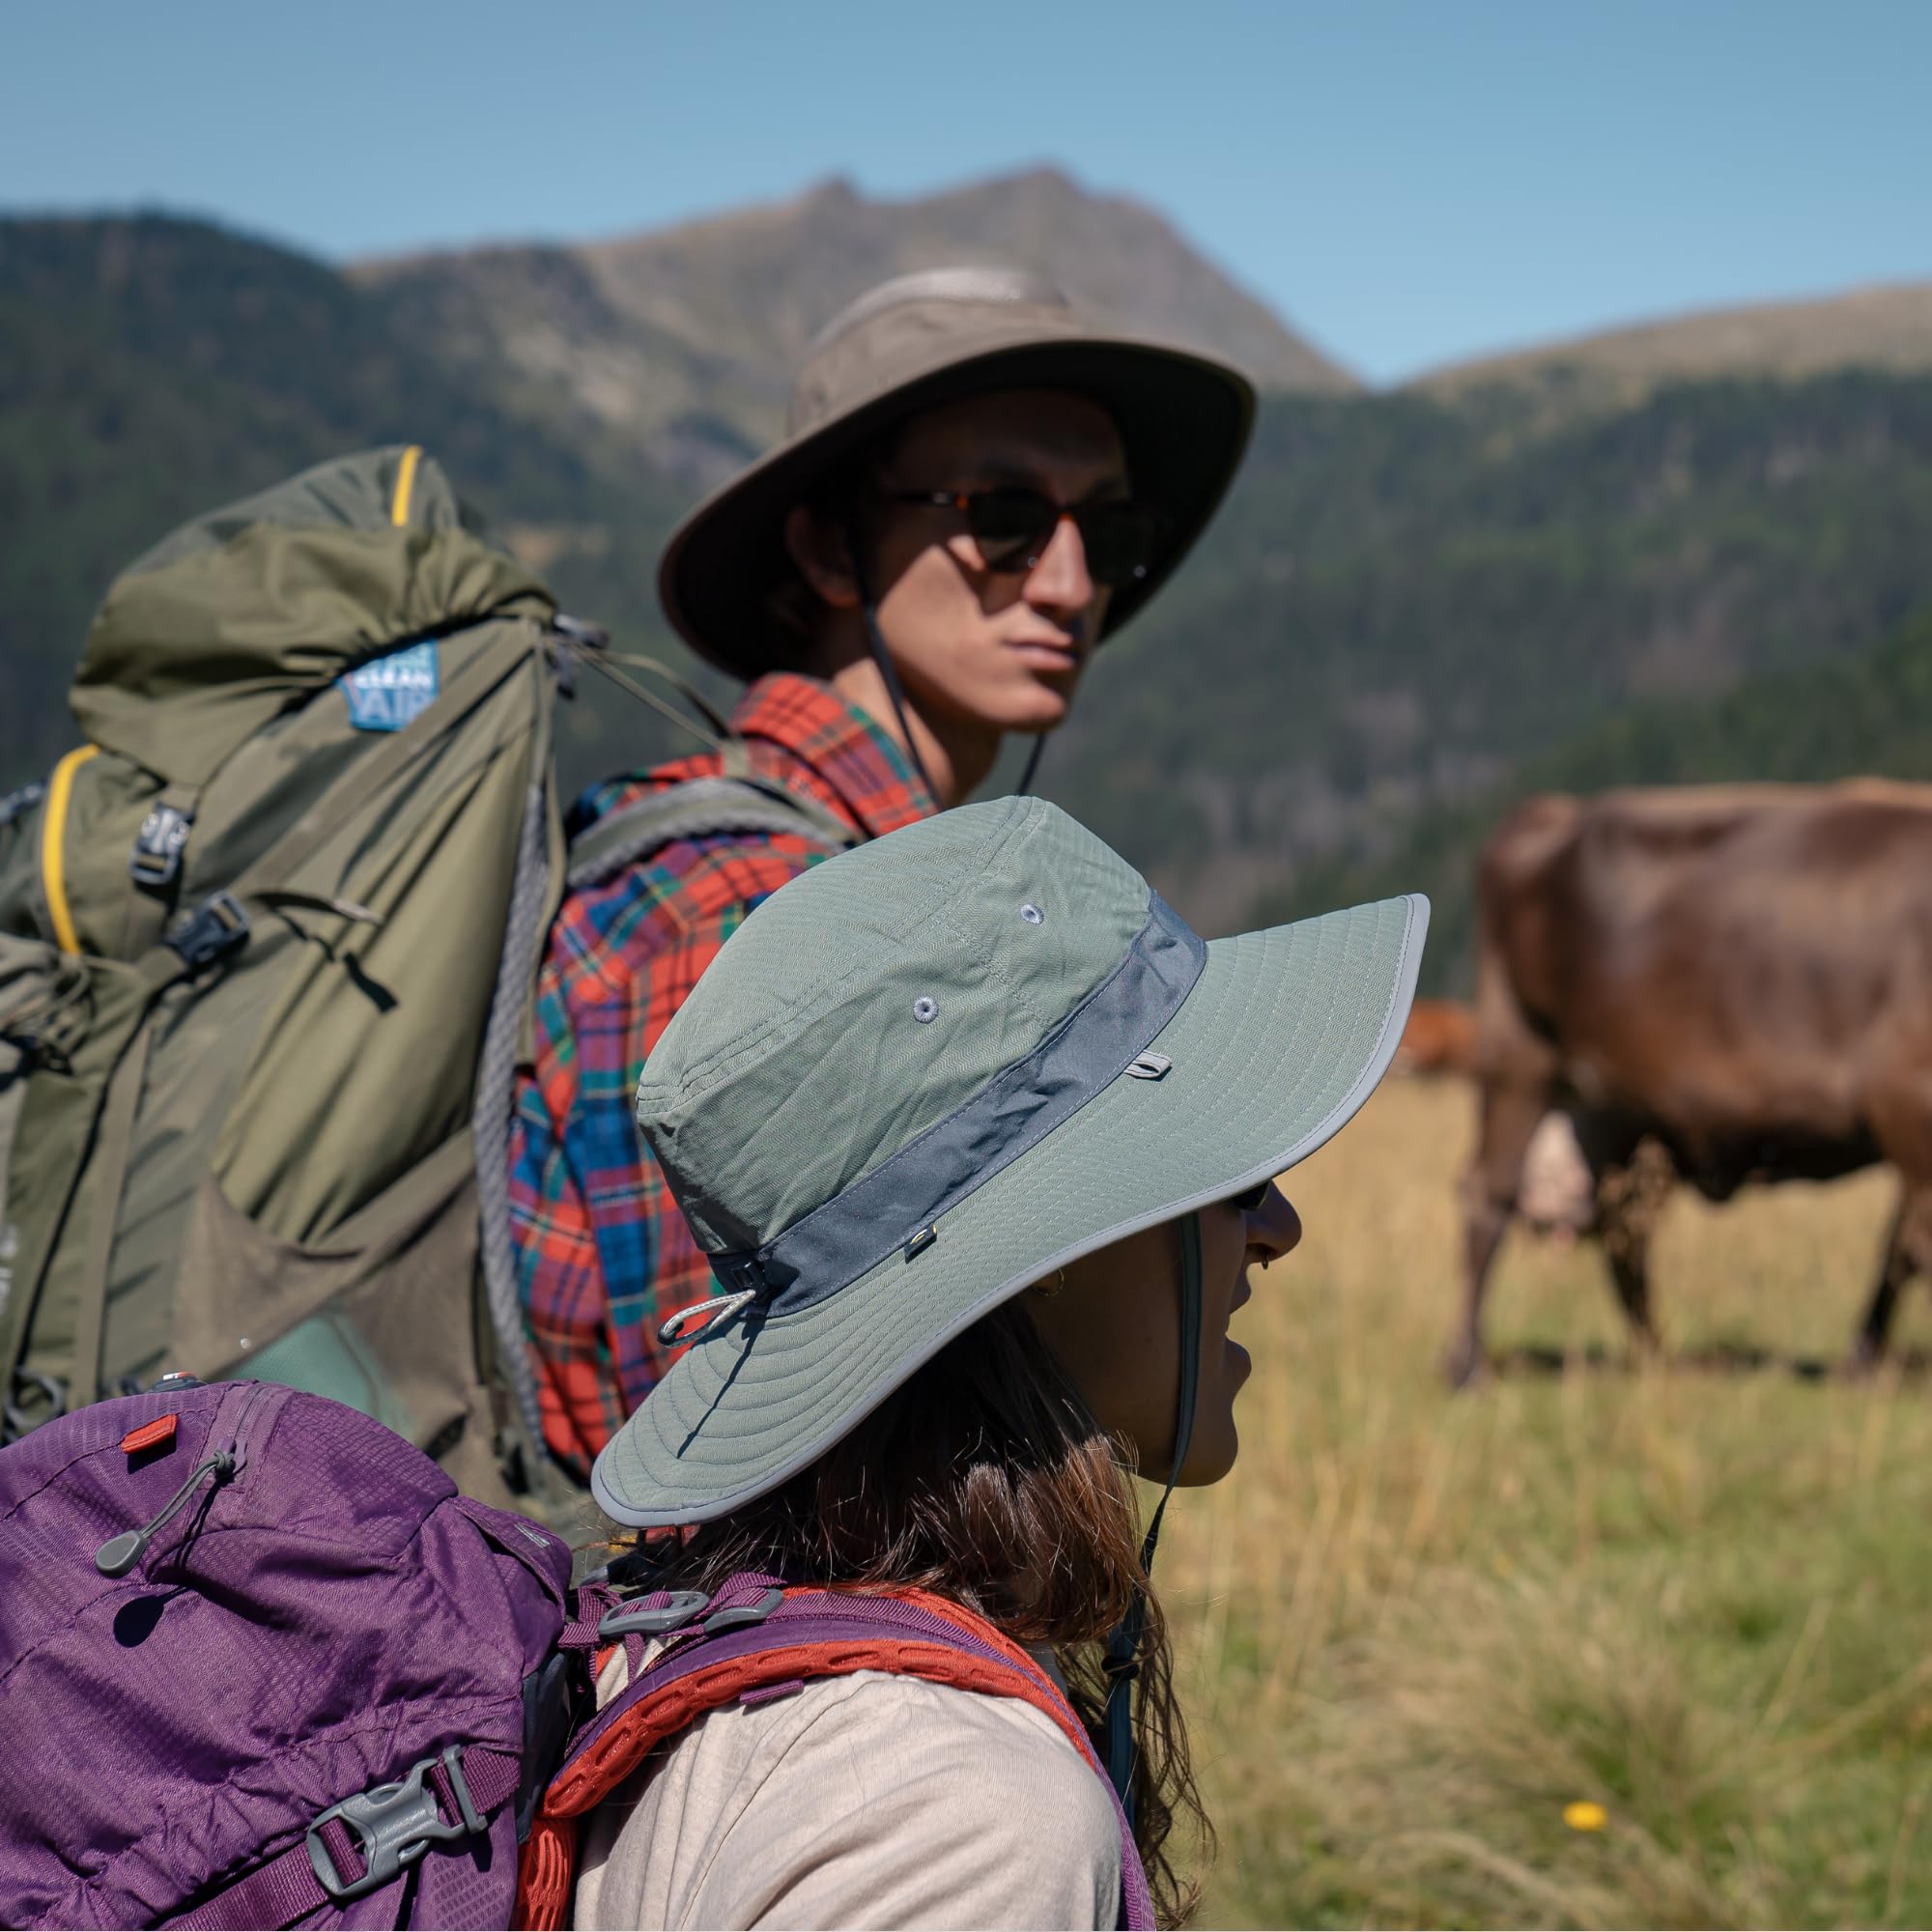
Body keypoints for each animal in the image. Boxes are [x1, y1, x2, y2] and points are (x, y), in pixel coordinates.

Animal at [1453, 777, 1932, 1383]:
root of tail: (1547, 811)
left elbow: (1900, 1249)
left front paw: (1861, 1360)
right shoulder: (1905, 1096)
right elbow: (1916, 1246)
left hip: (1615, 1121)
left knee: (1624, 1241)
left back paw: (1656, 1356)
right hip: (1516, 1056)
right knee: (1488, 1199)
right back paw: (1465, 1366)